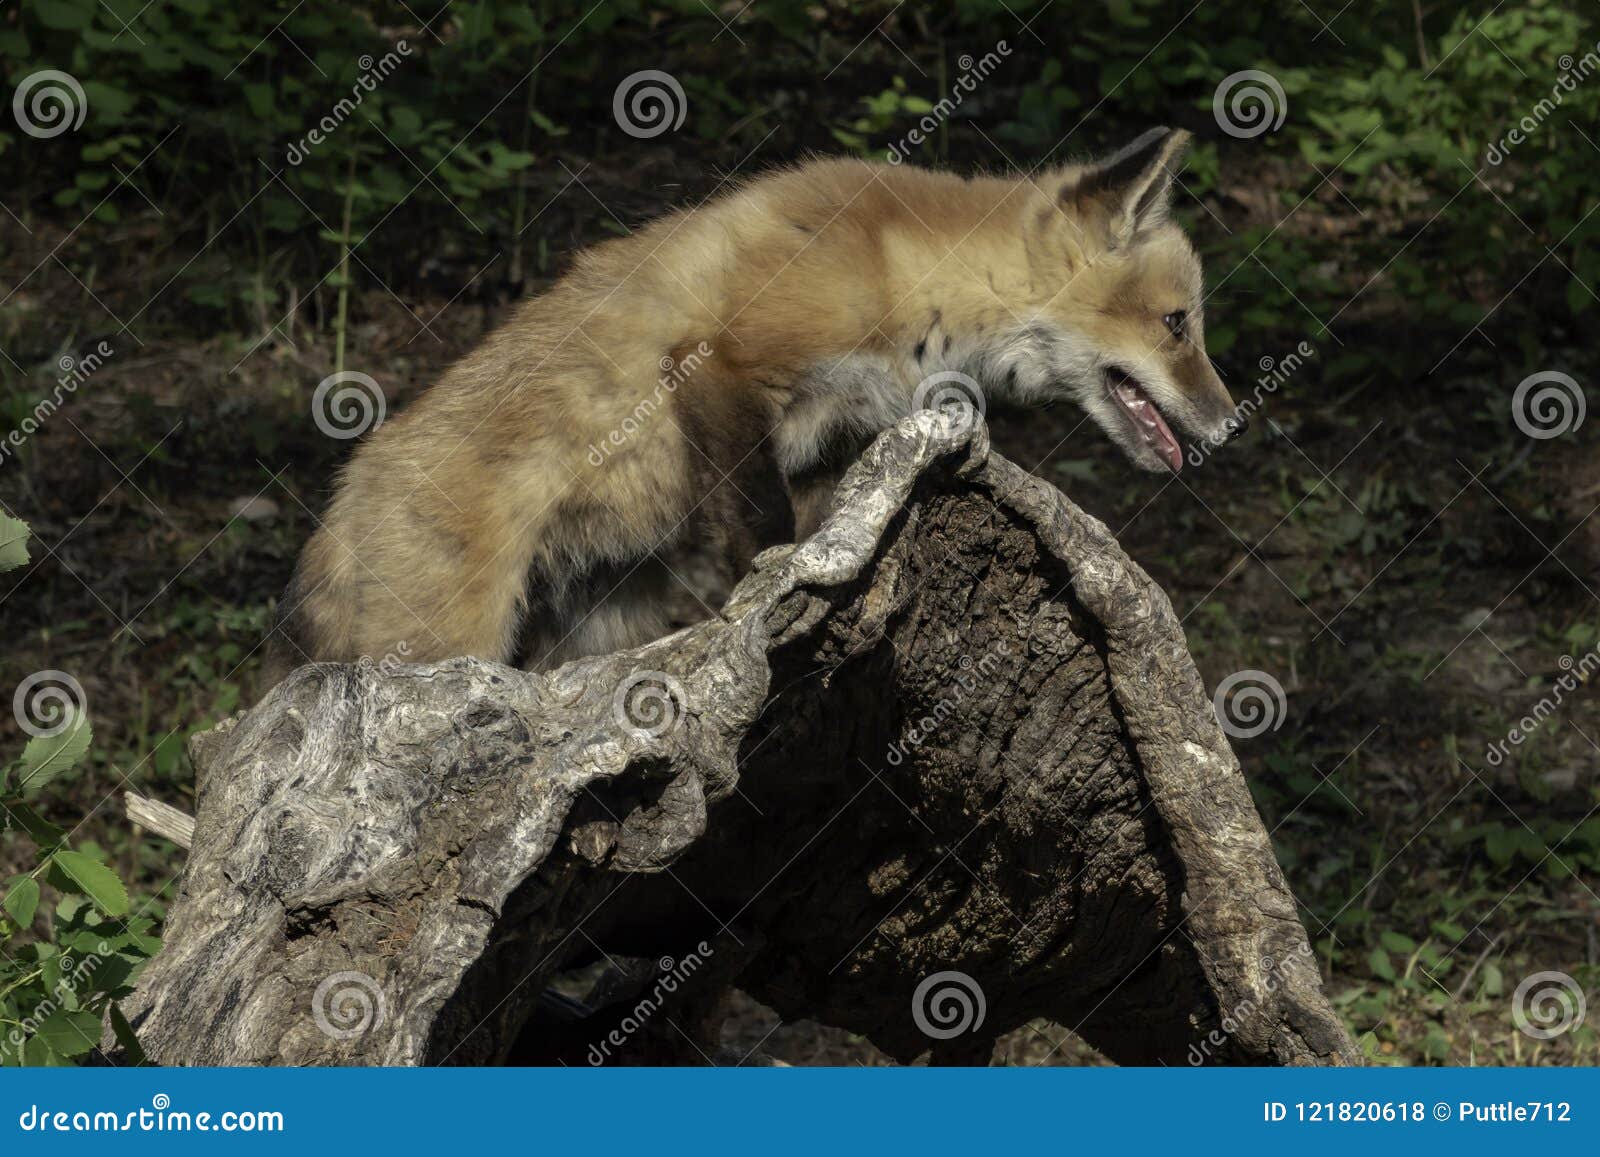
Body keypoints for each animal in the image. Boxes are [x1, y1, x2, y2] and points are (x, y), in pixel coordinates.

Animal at [271, 126, 1245, 677]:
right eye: (1178, 324)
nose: (1231, 422)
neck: (906, 272)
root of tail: (339, 501)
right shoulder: (721, 361)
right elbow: (765, 532)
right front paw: (771, 607)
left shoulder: (826, 442)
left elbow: (822, 530)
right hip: (447, 644)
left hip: (604, 612)